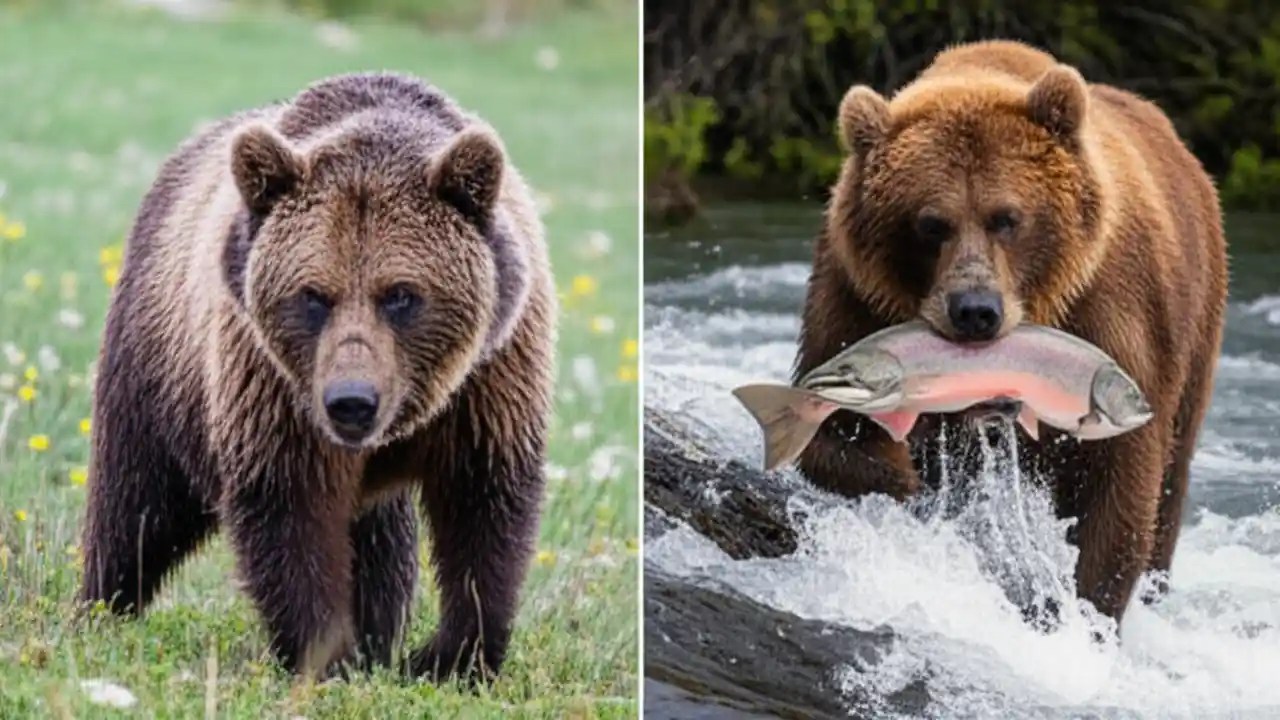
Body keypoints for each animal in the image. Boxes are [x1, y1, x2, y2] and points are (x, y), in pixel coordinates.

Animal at [79, 72, 555, 680]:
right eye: (313, 296)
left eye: (401, 295)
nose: (351, 401)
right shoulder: (268, 380)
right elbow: (289, 505)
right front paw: (326, 654)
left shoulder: (492, 377)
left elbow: (483, 503)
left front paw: (451, 658)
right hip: (159, 359)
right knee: (137, 500)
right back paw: (100, 606)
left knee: (377, 537)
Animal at [794, 40, 1227, 623]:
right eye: (930, 223)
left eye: (1007, 218)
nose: (975, 310)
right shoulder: (856, 295)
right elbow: (830, 430)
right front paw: (907, 474)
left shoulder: (1111, 314)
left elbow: (1118, 482)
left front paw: (1085, 609)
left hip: (1197, 323)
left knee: (1171, 478)